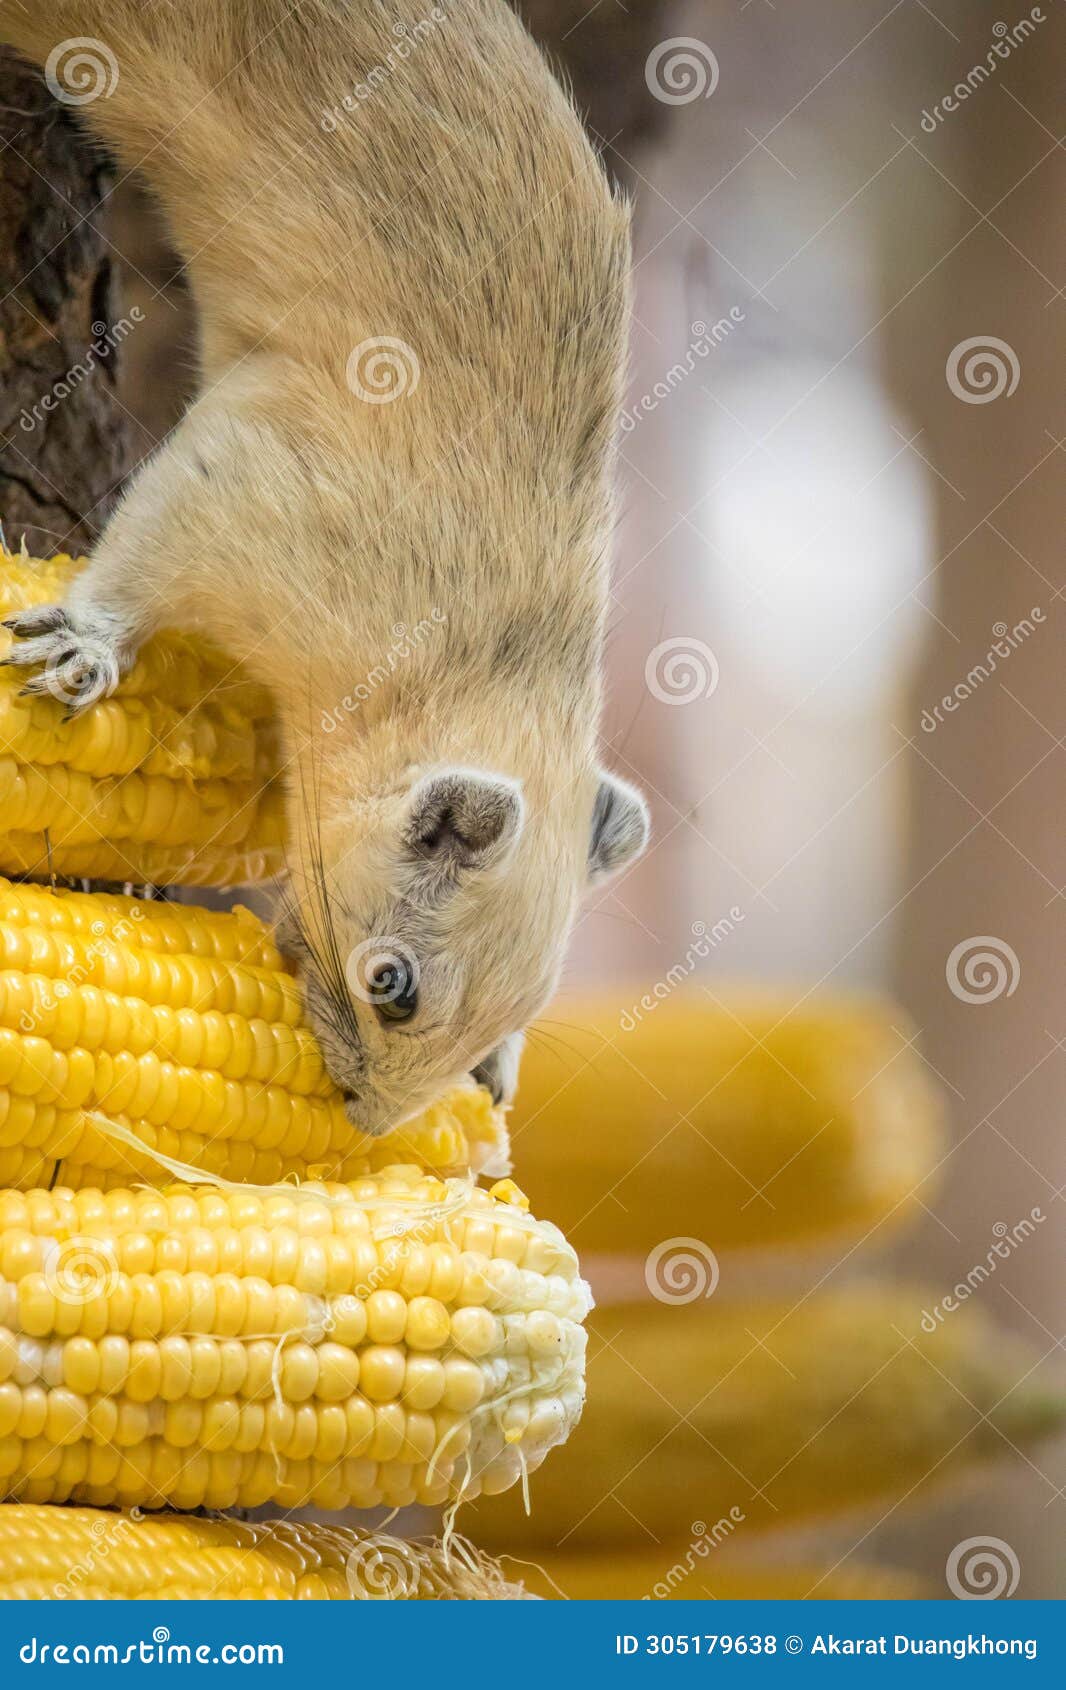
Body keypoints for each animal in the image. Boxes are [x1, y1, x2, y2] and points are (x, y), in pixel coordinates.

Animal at [0, 0, 649, 1134]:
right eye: (392, 986)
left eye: (522, 1011)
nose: (365, 1120)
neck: (487, 642)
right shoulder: (258, 488)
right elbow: (145, 552)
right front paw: (84, 641)